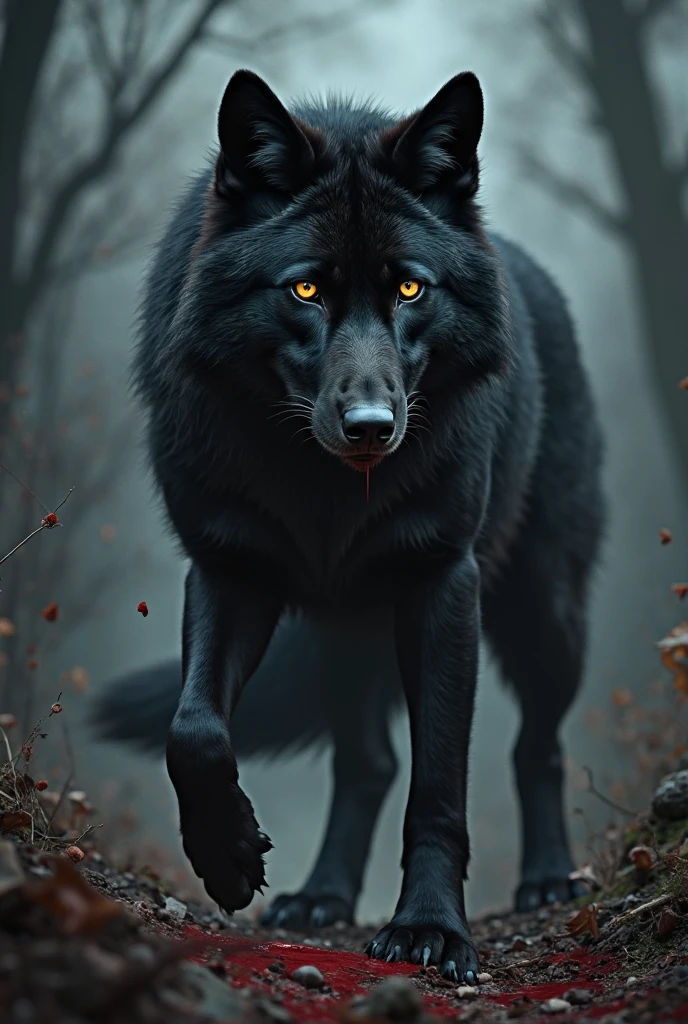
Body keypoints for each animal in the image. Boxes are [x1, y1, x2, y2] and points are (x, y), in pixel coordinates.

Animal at [91, 69, 604, 983]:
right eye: (305, 289)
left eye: (409, 287)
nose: (372, 426)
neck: (326, 491)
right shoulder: (228, 569)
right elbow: (194, 729)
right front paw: (226, 857)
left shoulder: (443, 586)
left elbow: (439, 787)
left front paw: (432, 930)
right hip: (343, 635)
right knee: (367, 764)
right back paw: (322, 896)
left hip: (542, 615)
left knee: (533, 748)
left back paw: (548, 880)